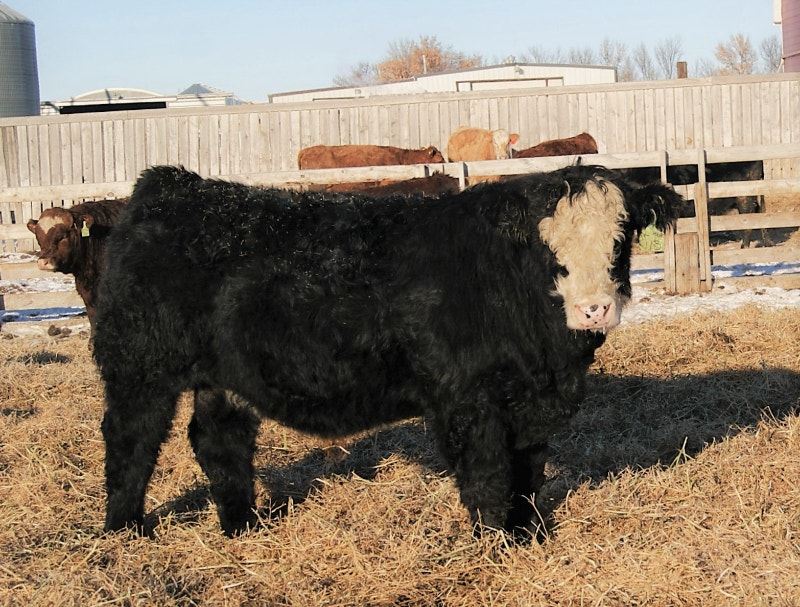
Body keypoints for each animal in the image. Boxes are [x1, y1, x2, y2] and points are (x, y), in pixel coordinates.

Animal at [93, 164, 683, 539]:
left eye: (622, 237)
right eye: (549, 247)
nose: (594, 309)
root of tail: (171, 186)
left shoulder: (528, 404)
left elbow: (527, 474)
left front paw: (531, 535)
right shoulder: (468, 400)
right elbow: (489, 475)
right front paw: (498, 543)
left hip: (222, 376)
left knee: (219, 441)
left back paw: (243, 528)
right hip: (139, 365)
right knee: (131, 440)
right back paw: (125, 531)